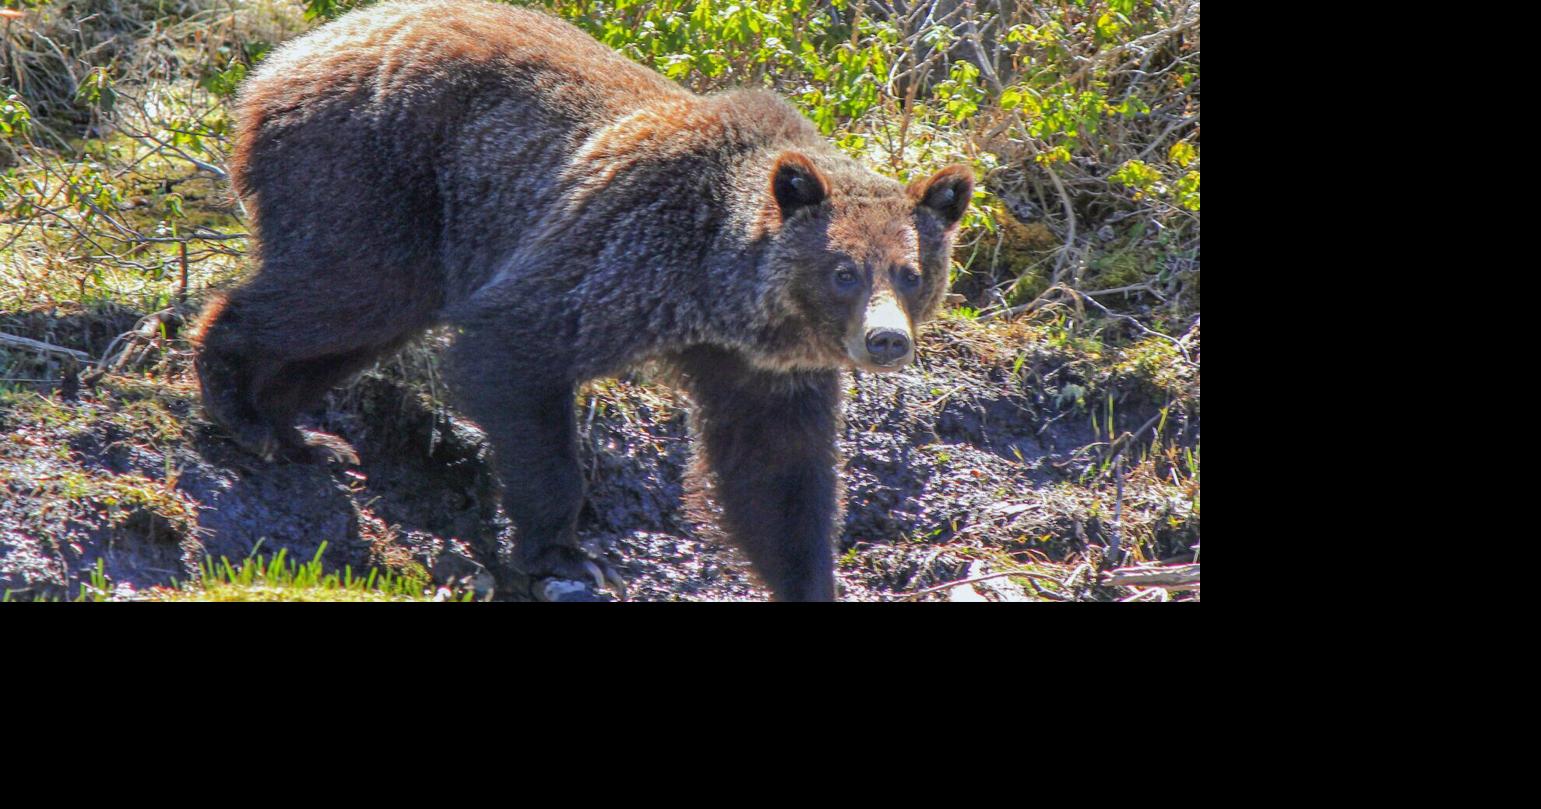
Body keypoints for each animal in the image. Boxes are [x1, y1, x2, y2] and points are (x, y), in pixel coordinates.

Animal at [192, 0, 973, 601]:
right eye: (843, 270)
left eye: (910, 271)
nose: (885, 339)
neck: (719, 288)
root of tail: (281, 59)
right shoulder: (621, 254)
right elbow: (515, 354)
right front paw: (567, 551)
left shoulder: (762, 366)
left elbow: (776, 471)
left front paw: (808, 575)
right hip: (370, 167)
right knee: (343, 290)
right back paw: (240, 405)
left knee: (355, 327)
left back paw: (300, 434)